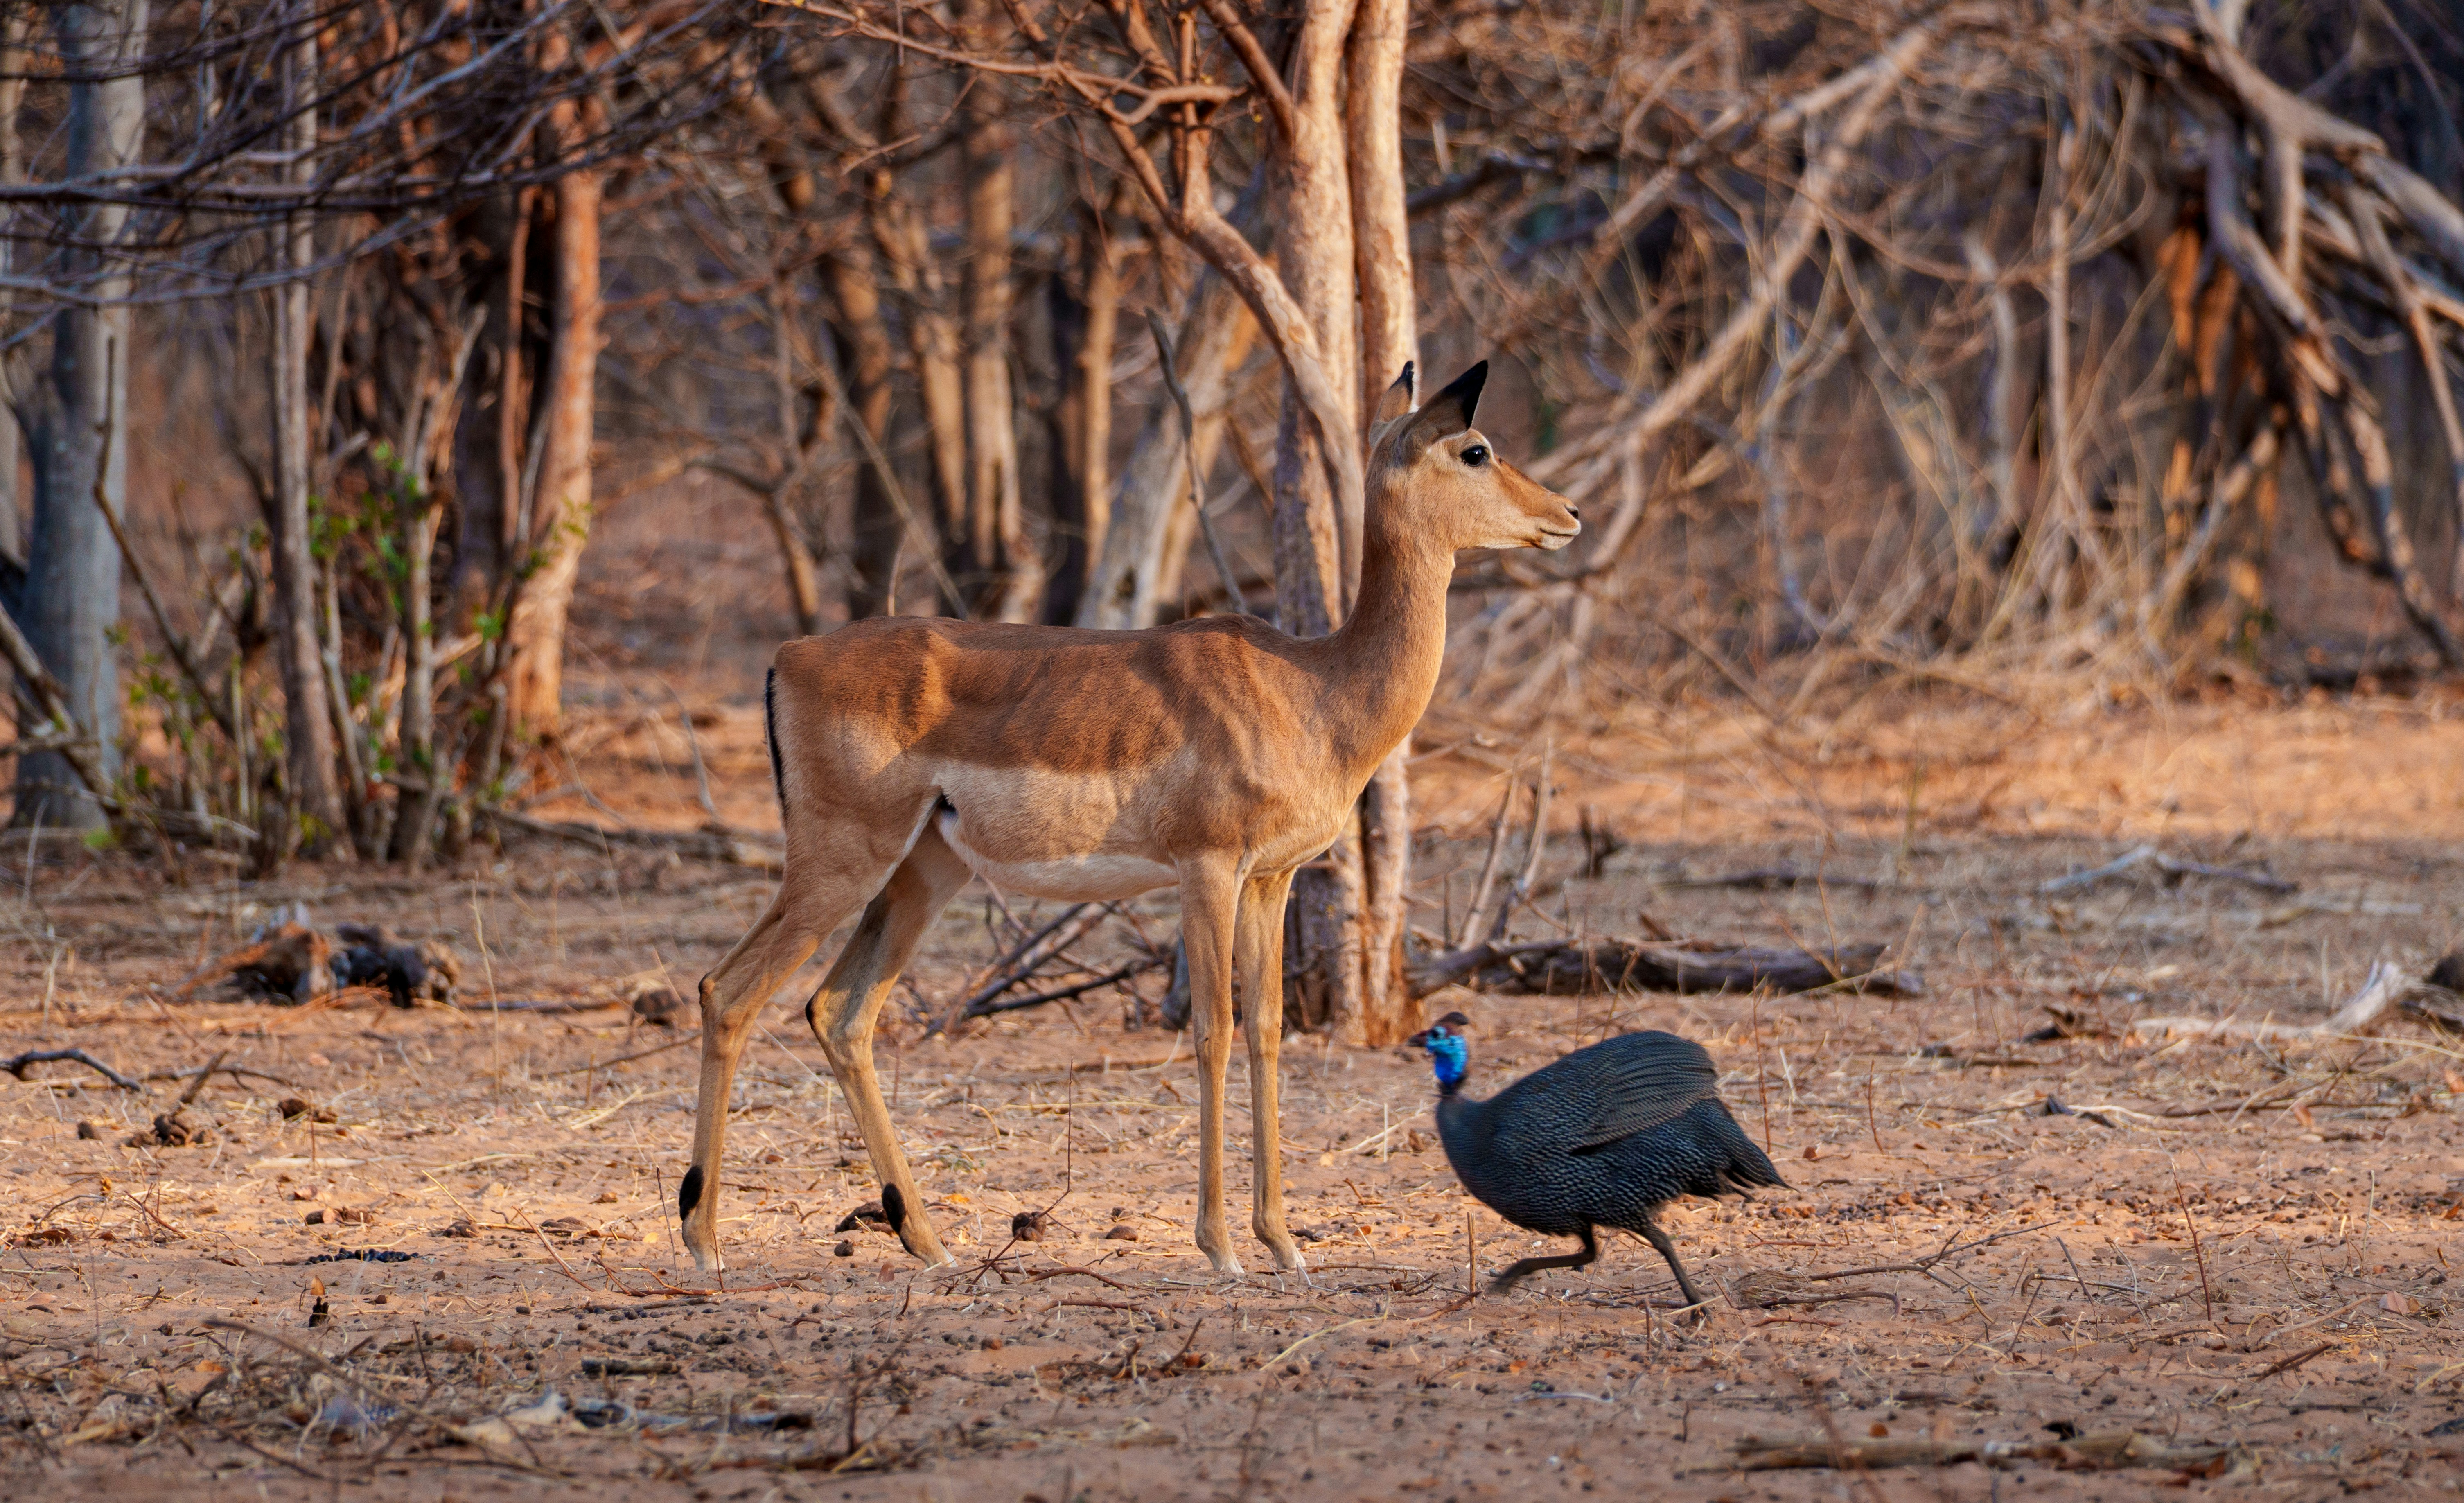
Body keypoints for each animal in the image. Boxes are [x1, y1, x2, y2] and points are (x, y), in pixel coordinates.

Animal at [678, 360, 1579, 1275]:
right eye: (1475, 449)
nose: (1566, 515)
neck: (1317, 688)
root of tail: (789, 657)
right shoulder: (1207, 868)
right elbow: (1215, 1028)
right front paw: (1221, 1247)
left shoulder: (1272, 879)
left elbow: (1266, 1029)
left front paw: (1283, 1242)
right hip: (839, 862)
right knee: (728, 991)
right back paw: (705, 1241)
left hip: (924, 872)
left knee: (840, 1013)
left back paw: (926, 1242)